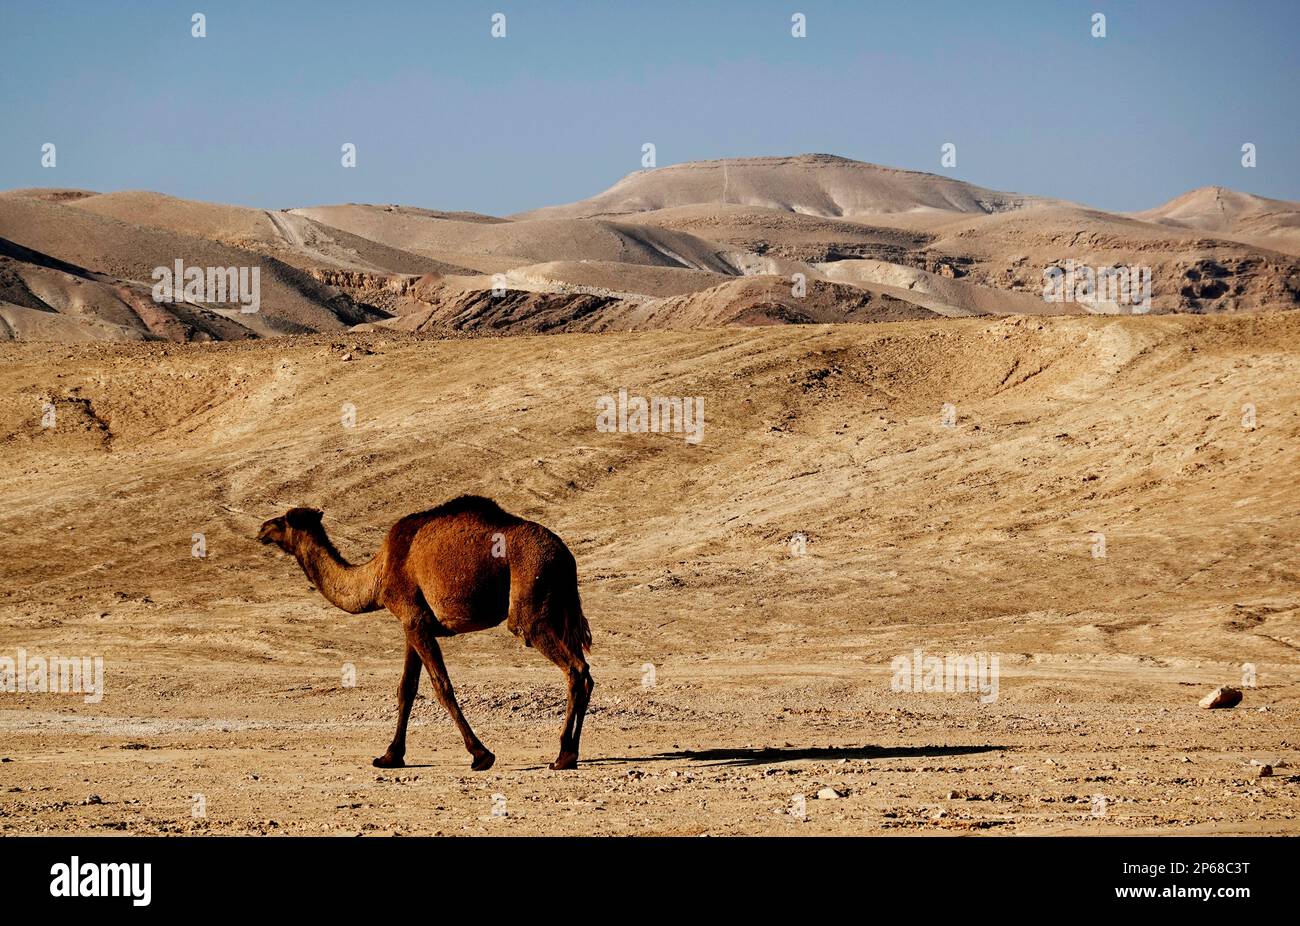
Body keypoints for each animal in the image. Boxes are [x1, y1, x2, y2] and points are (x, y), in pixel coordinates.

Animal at [257, 495, 593, 771]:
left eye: (284, 520)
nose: (262, 528)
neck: (377, 574)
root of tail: (566, 555)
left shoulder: (413, 618)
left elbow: (442, 686)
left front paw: (481, 755)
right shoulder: (413, 624)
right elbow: (406, 688)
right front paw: (390, 756)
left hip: (530, 605)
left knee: (573, 668)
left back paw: (562, 756)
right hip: (558, 607)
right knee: (586, 673)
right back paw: (572, 754)